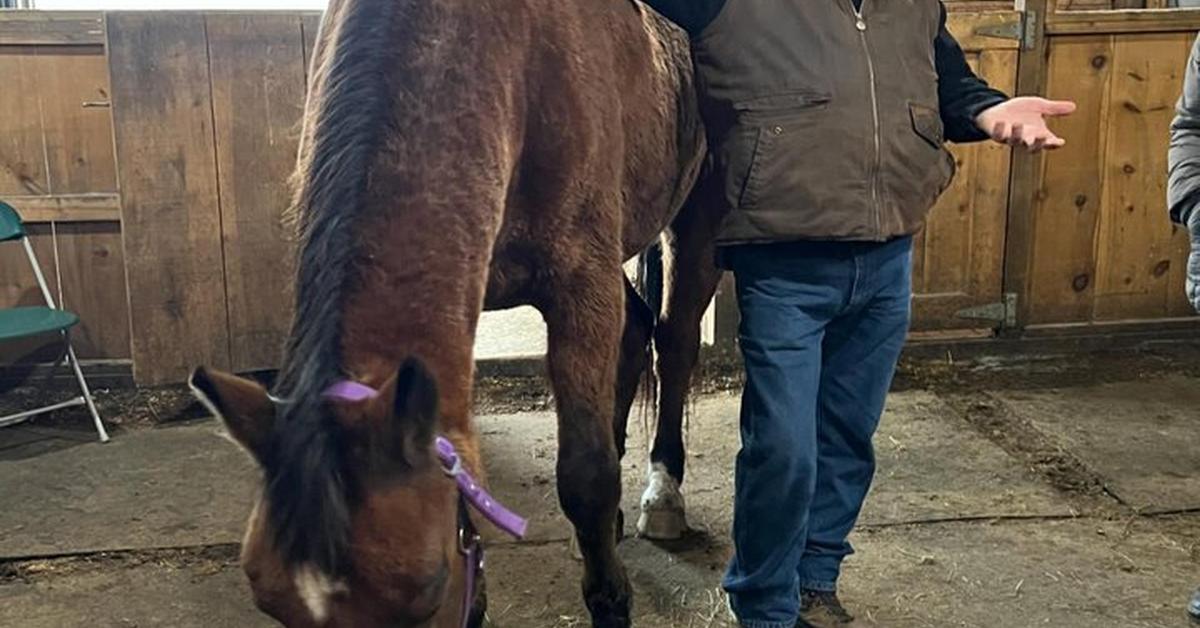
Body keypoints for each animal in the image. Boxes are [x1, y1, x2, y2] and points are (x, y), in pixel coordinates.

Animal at [186, 0, 706, 625]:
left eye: (428, 590)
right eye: (269, 602)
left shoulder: (581, 282)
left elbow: (587, 477)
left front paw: (610, 599)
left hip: (692, 224)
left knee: (674, 345)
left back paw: (663, 496)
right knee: (634, 336)